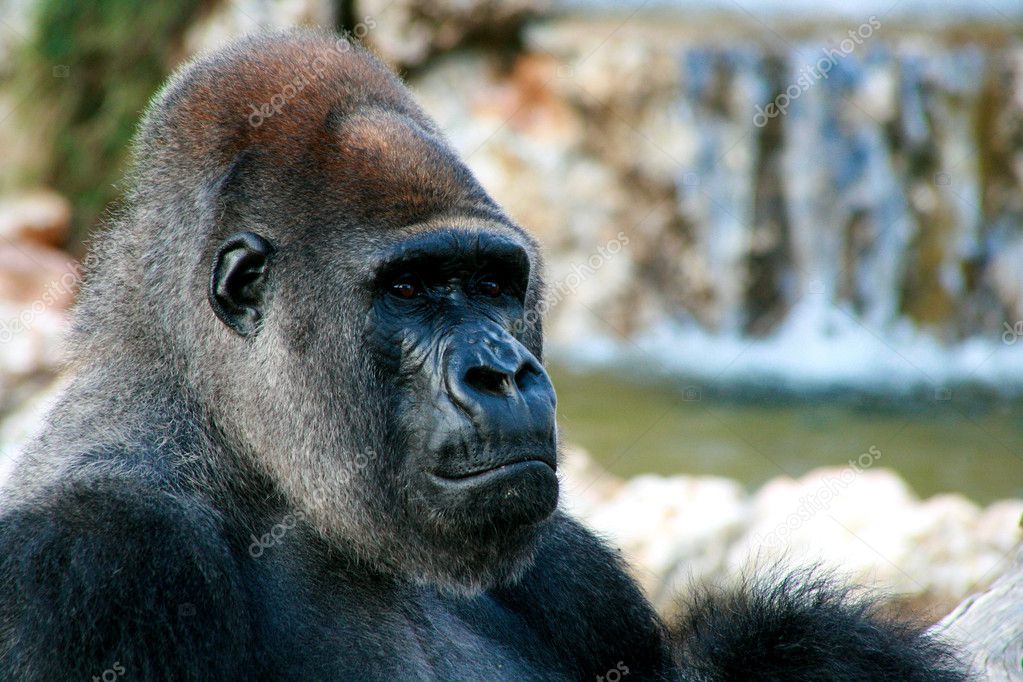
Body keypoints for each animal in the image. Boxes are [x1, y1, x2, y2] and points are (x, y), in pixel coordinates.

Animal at [0, 29, 966, 681]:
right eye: (413, 288)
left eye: (495, 283)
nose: (501, 371)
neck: (247, 462)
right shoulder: (98, 563)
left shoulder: (577, 581)